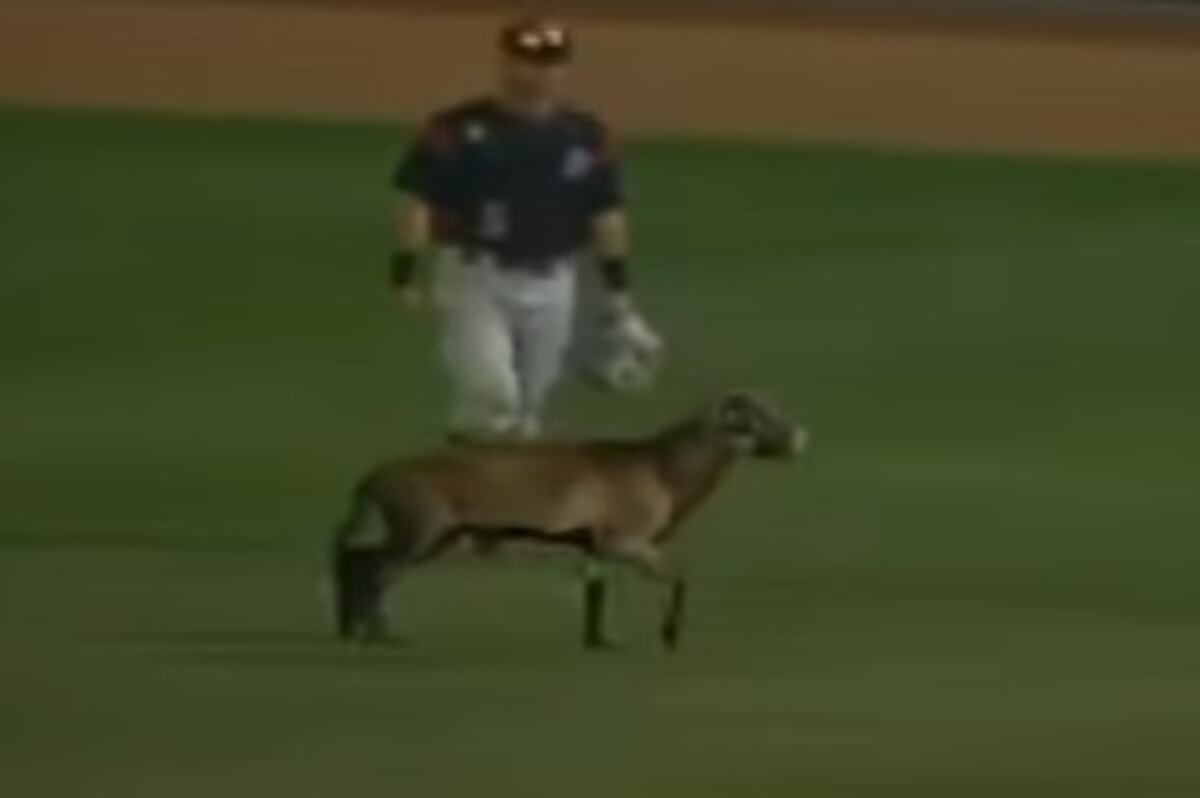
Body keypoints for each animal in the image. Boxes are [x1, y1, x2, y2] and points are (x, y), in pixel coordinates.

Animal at [331, 391, 807, 650]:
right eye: (752, 419)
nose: (798, 441)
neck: (660, 468)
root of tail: (375, 477)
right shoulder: (626, 542)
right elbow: (675, 577)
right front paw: (669, 637)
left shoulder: (597, 550)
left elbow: (600, 592)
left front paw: (603, 643)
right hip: (419, 535)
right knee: (377, 570)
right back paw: (380, 635)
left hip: (429, 538)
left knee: (359, 560)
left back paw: (354, 632)